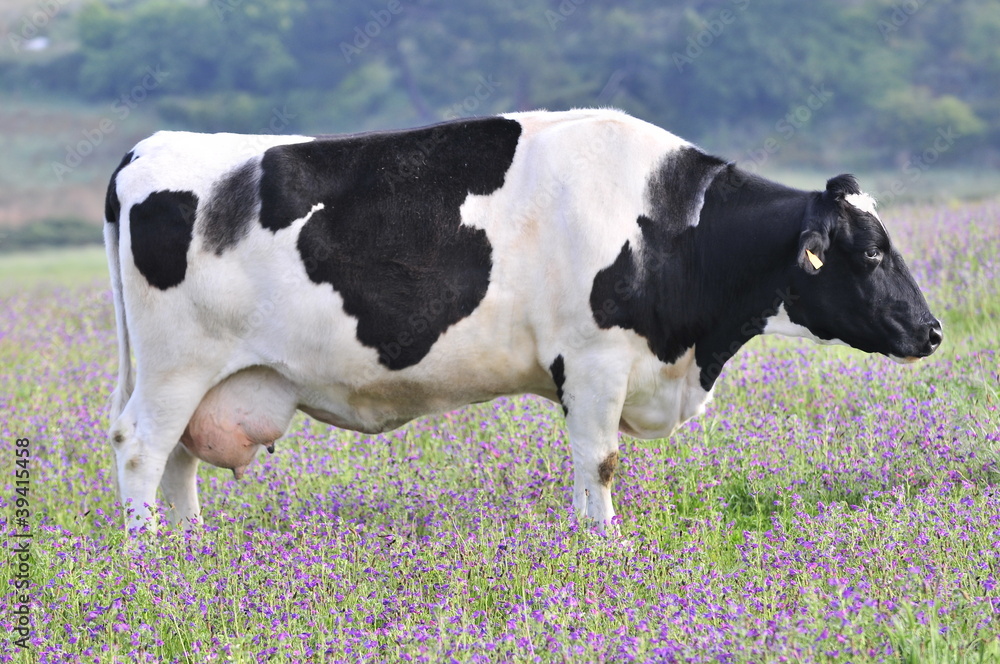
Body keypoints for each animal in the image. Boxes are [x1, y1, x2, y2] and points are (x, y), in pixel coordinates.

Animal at [103, 109, 941, 532]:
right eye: (870, 253)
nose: (931, 331)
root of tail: (148, 147)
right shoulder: (595, 360)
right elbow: (598, 462)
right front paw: (604, 547)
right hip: (175, 366)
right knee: (142, 449)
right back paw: (152, 562)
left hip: (206, 379)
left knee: (178, 461)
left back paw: (194, 553)